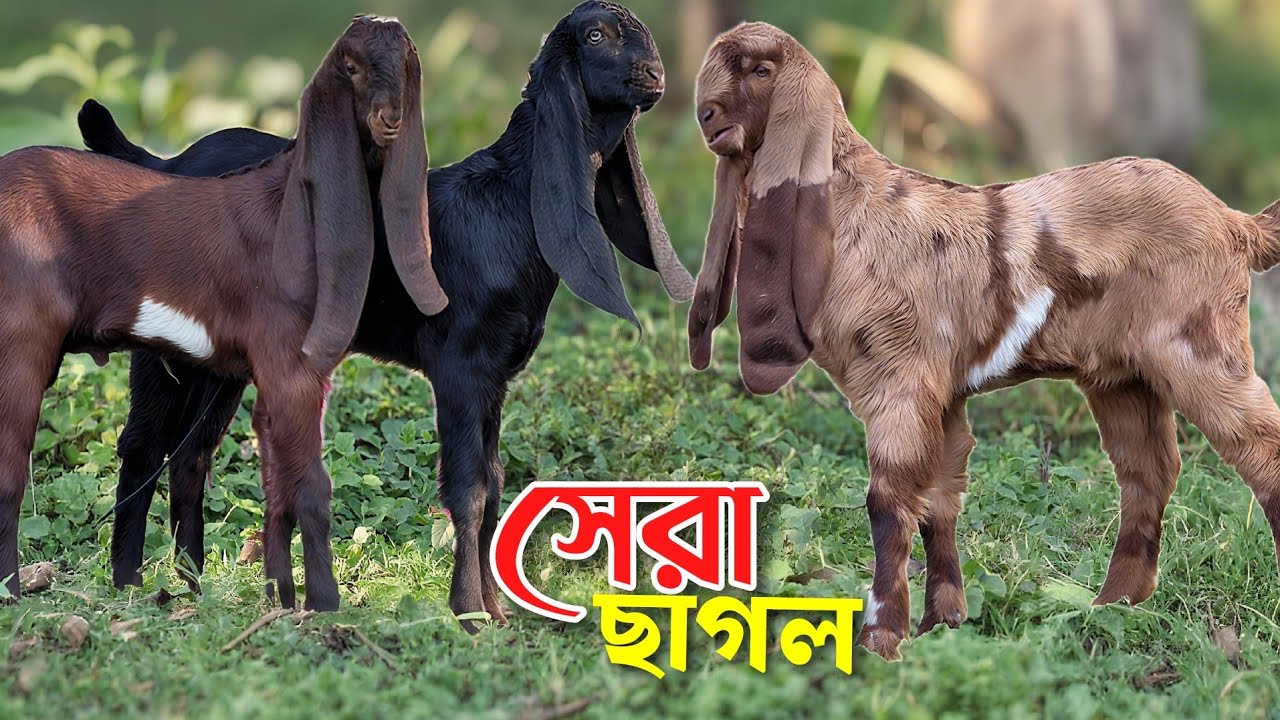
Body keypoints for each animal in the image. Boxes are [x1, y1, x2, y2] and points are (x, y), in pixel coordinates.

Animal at [0, 17, 446, 609]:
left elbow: (279, 480)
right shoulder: (286, 362)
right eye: (349, 66)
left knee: (187, 456)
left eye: (408, 63)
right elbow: (311, 484)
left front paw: (282, 598)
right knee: (74, 455)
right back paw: (45, 589)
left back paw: (179, 583)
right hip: (36, 342)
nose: (388, 118)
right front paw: (323, 604)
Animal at [77, 1, 691, 628]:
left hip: (218, 364)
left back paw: (194, 587)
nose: (657, 76)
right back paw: (130, 583)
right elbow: (469, 487)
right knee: (142, 446)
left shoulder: (494, 378)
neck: (508, 203)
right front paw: (469, 613)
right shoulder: (461, 366)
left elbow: (495, 482)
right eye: (595, 35)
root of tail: (169, 162)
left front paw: (498, 612)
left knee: (190, 455)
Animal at [688, 22, 1280, 661]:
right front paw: (943, 622)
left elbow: (889, 501)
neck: (854, 210)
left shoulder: (899, 379)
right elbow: (939, 499)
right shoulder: (941, 393)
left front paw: (881, 637)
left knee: (1257, 445)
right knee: (1148, 470)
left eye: (760, 71)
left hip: (1200, 346)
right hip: (1122, 374)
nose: (705, 115)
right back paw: (1109, 606)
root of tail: (1236, 223)